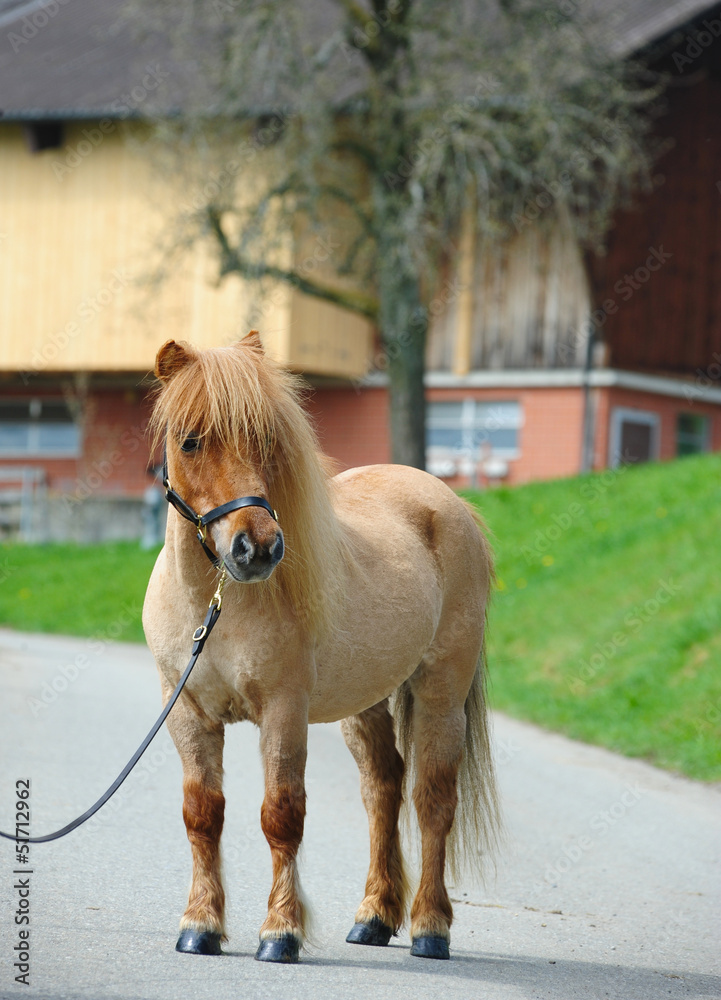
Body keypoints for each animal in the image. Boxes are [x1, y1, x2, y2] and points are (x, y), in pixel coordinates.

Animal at [142, 331, 500, 964]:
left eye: (266, 440)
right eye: (190, 441)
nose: (256, 549)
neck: (215, 604)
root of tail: (447, 501)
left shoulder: (284, 712)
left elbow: (281, 815)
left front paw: (280, 932)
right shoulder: (186, 712)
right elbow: (202, 814)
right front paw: (200, 926)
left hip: (441, 696)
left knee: (432, 797)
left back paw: (430, 928)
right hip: (366, 703)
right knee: (383, 789)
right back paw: (373, 918)